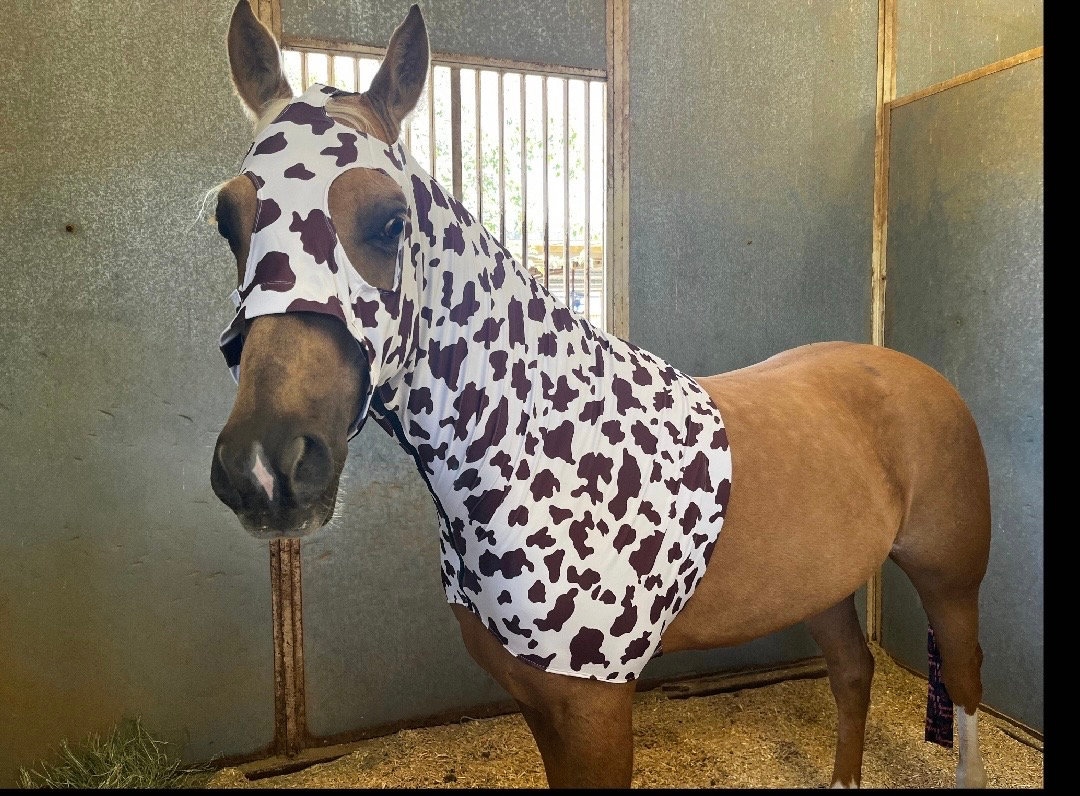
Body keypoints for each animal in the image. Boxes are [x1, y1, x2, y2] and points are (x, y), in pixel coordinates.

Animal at [208, 1, 991, 787]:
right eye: (227, 219)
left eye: (390, 220)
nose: (266, 468)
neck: (543, 444)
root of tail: (919, 374)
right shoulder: (540, 702)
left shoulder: (595, 707)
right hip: (825, 583)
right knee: (853, 672)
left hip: (950, 580)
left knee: (965, 683)